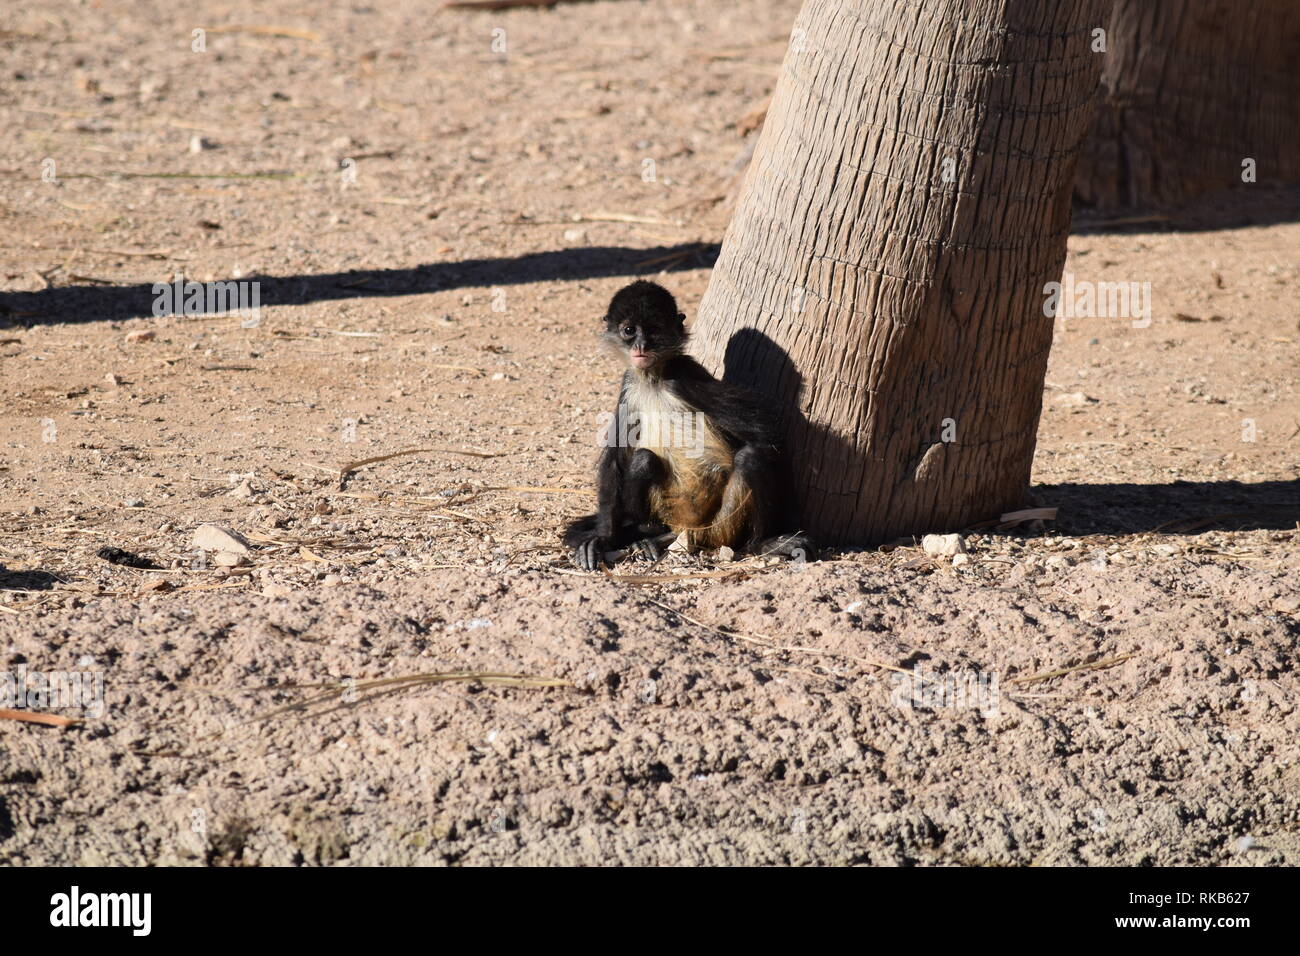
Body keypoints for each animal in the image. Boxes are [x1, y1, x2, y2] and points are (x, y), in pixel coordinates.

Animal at [563, 280, 814, 571]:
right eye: (629, 330)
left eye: (654, 330)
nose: (641, 345)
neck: (653, 379)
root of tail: (689, 528)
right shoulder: (629, 384)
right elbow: (615, 461)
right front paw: (604, 538)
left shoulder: (684, 373)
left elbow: (765, 430)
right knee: (643, 459)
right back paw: (649, 533)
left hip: (723, 523)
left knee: (751, 456)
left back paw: (760, 543)